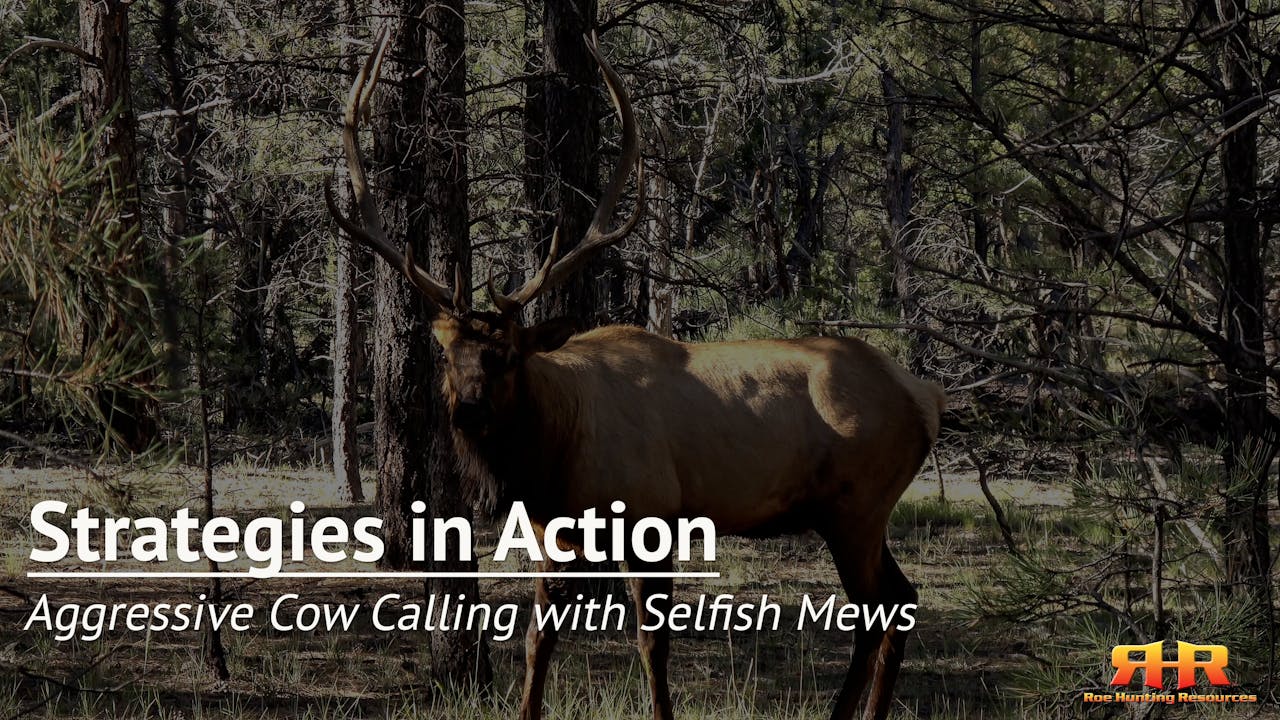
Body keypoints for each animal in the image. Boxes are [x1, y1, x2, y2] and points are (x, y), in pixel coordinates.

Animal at [326, 30, 946, 720]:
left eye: (507, 354)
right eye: (447, 353)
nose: (470, 410)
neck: (553, 453)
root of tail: (927, 397)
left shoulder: (653, 514)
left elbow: (653, 642)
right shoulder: (554, 533)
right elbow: (538, 637)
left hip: (857, 504)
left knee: (880, 609)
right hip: (860, 511)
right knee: (902, 599)